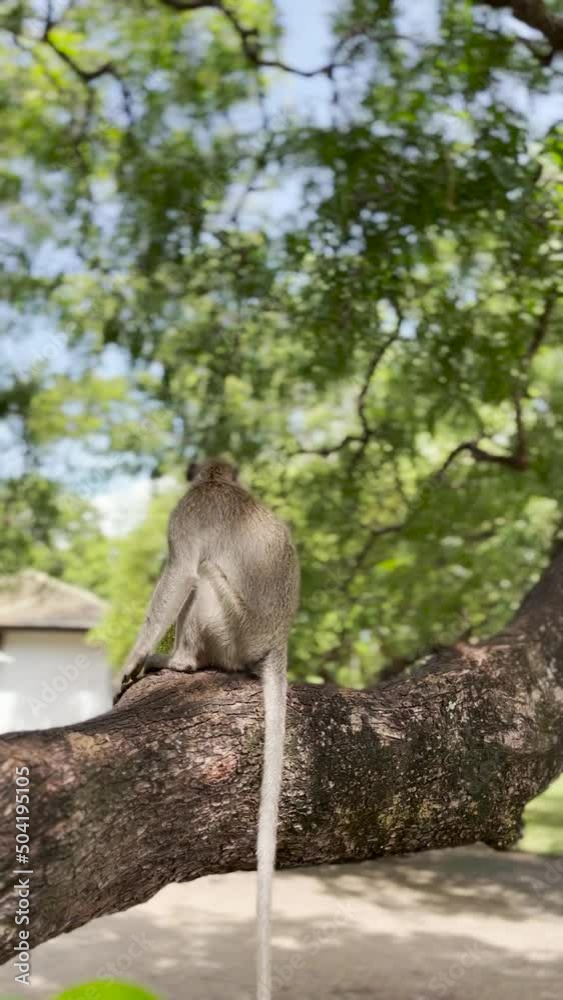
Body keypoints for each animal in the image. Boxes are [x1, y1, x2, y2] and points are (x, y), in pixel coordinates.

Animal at [120, 458, 300, 1000]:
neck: (219, 482)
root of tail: (276, 640)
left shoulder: (188, 512)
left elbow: (180, 571)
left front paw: (135, 657)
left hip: (230, 632)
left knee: (200, 574)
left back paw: (179, 662)